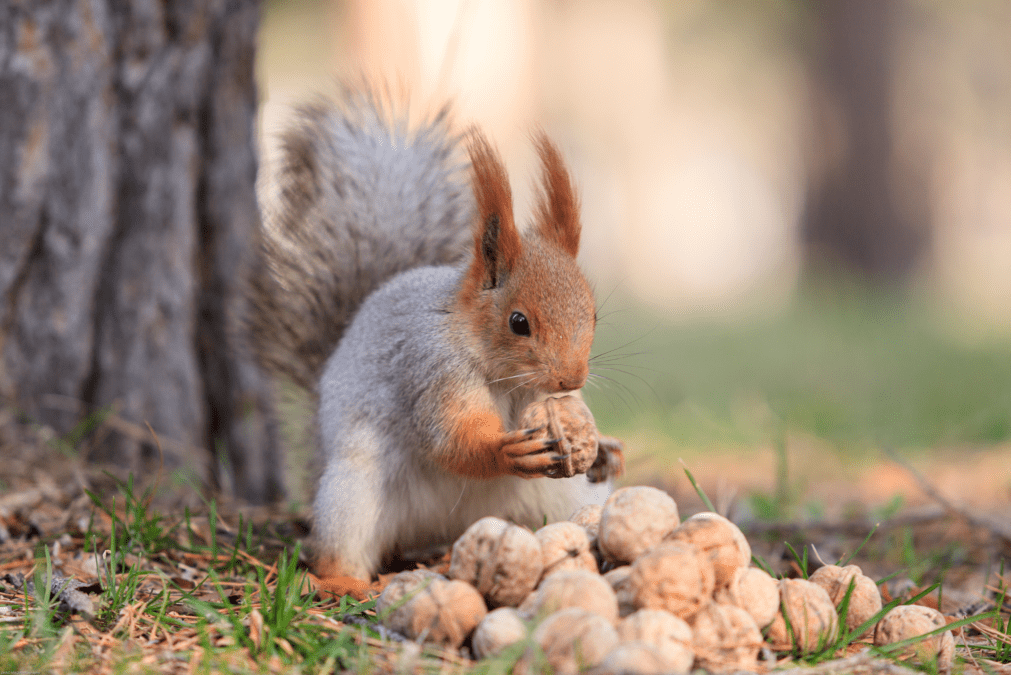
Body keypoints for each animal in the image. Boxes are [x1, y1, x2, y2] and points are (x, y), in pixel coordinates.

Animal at [251, 88, 623, 581]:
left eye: (594, 315)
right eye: (518, 322)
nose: (571, 379)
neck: (503, 374)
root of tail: (442, 529)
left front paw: (605, 449)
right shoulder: (432, 369)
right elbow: (451, 441)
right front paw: (506, 453)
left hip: (558, 496)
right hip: (356, 491)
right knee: (340, 547)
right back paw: (345, 584)